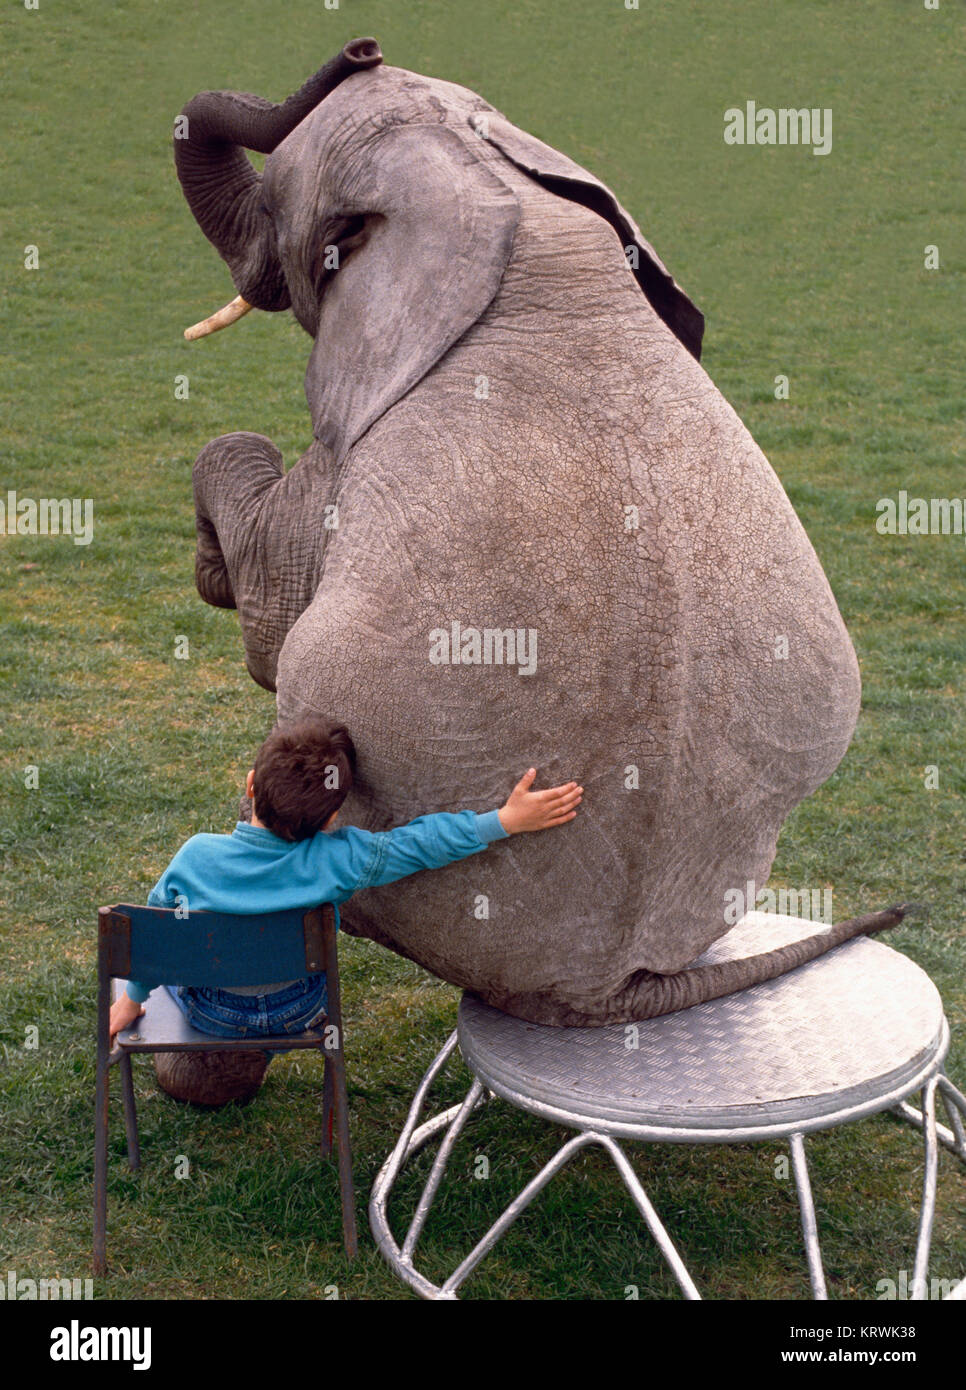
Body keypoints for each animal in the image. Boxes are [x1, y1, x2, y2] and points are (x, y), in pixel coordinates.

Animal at [172, 37, 910, 1027]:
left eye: (284, 205)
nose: (360, 48)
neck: (515, 209)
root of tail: (607, 989)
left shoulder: (349, 455)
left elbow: (261, 592)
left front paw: (216, 571)